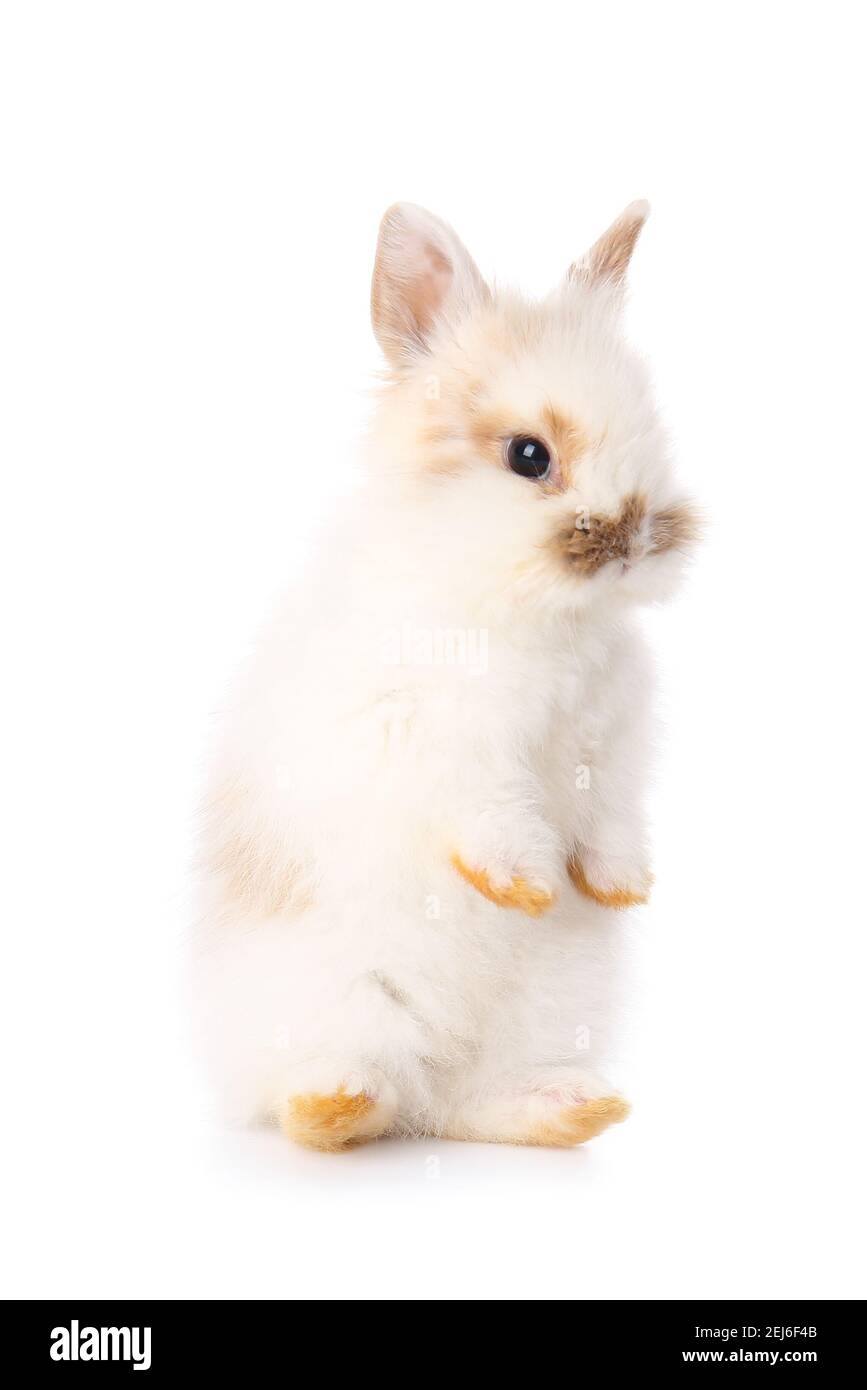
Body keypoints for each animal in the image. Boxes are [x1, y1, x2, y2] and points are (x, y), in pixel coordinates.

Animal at [191, 200, 698, 1151]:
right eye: (529, 456)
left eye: (651, 431)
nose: (630, 536)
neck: (531, 614)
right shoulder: (430, 732)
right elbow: (488, 807)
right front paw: (525, 888)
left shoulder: (613, 746)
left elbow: (610, 815)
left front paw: (617, 887)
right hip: (340, 994)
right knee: (352, 1096)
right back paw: (333, 1101)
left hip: (547, 1006)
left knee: (467, 1101)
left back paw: (574, 1108)